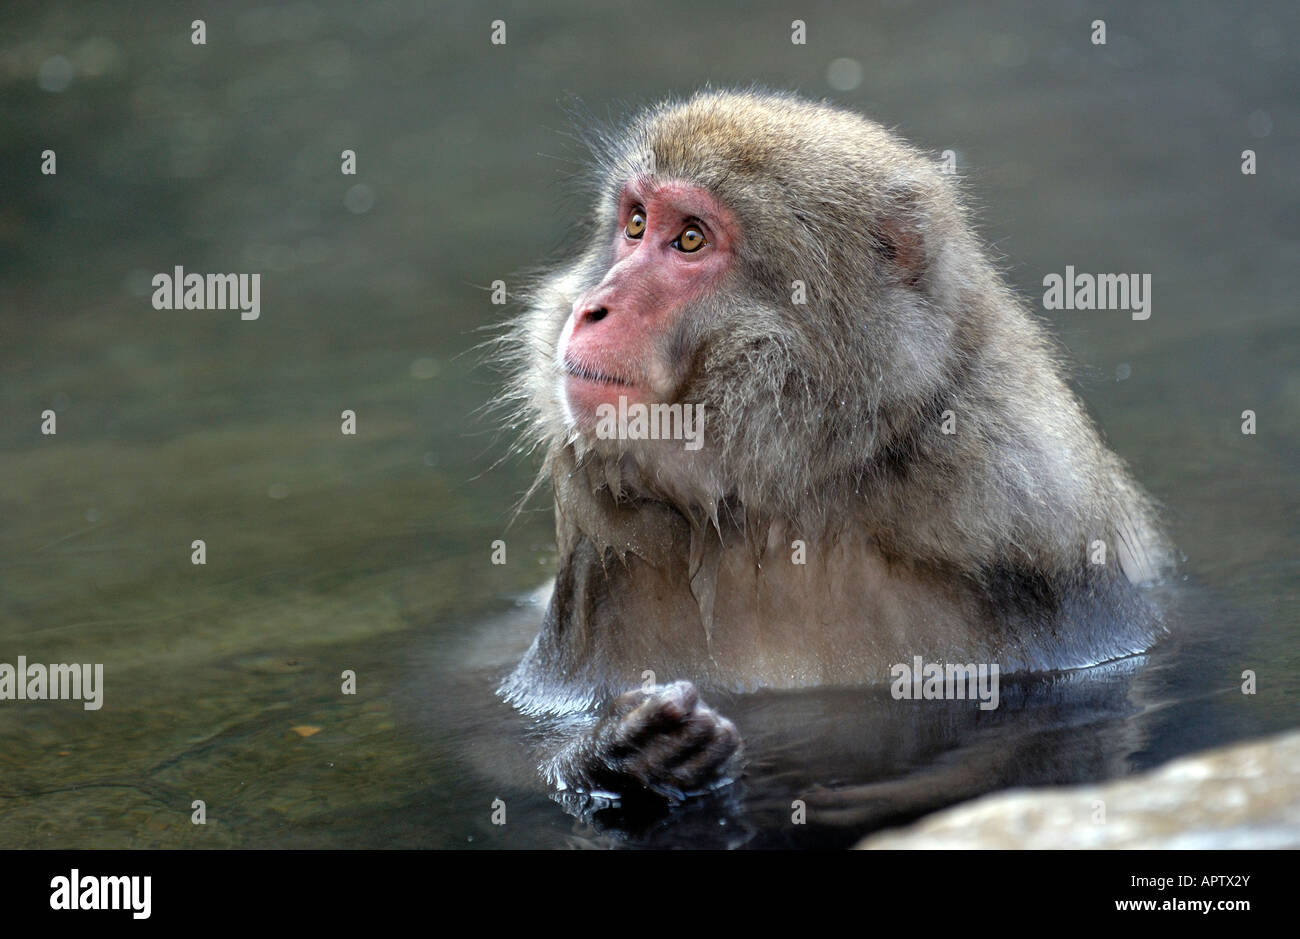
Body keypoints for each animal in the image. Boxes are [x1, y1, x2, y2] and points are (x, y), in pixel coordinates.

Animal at [493, 88, 1170, 807]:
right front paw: (626, 756)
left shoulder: (1047, 560)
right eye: (636, 223)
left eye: (691, 239)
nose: (592, 307)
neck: (789, 500)